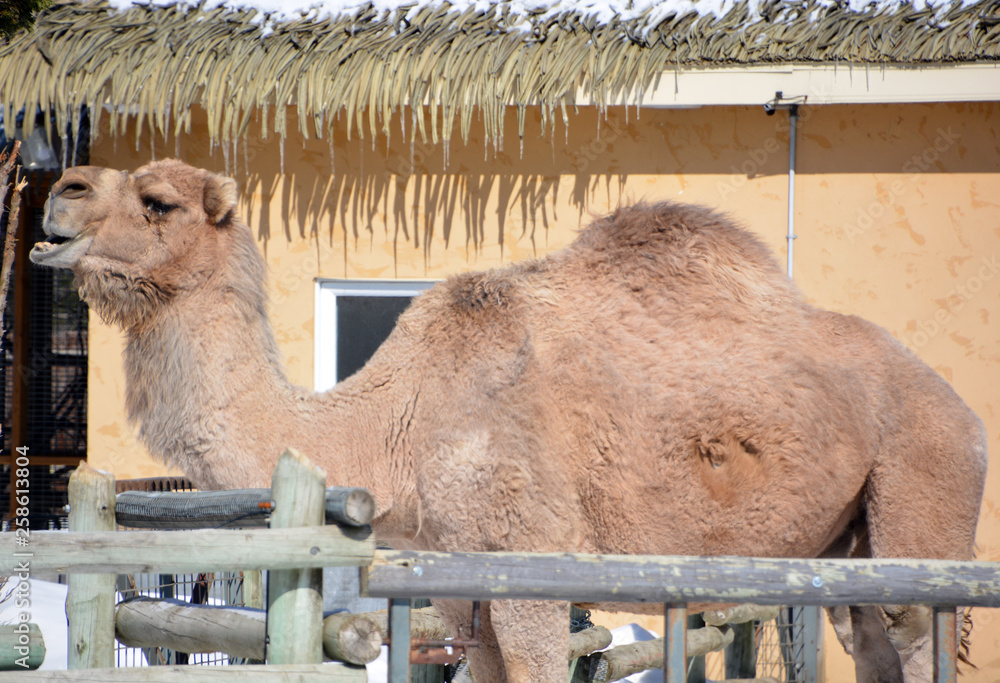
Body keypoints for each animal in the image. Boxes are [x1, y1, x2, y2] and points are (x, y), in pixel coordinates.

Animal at [31, 159, 986, 683]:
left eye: (158, 200)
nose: (59, 191)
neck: (397, 428)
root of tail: (966, 409)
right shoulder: (463, 582)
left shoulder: (534, 562)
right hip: (851, 545)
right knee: (871, 640)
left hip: (924, 484)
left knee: (920, 638)